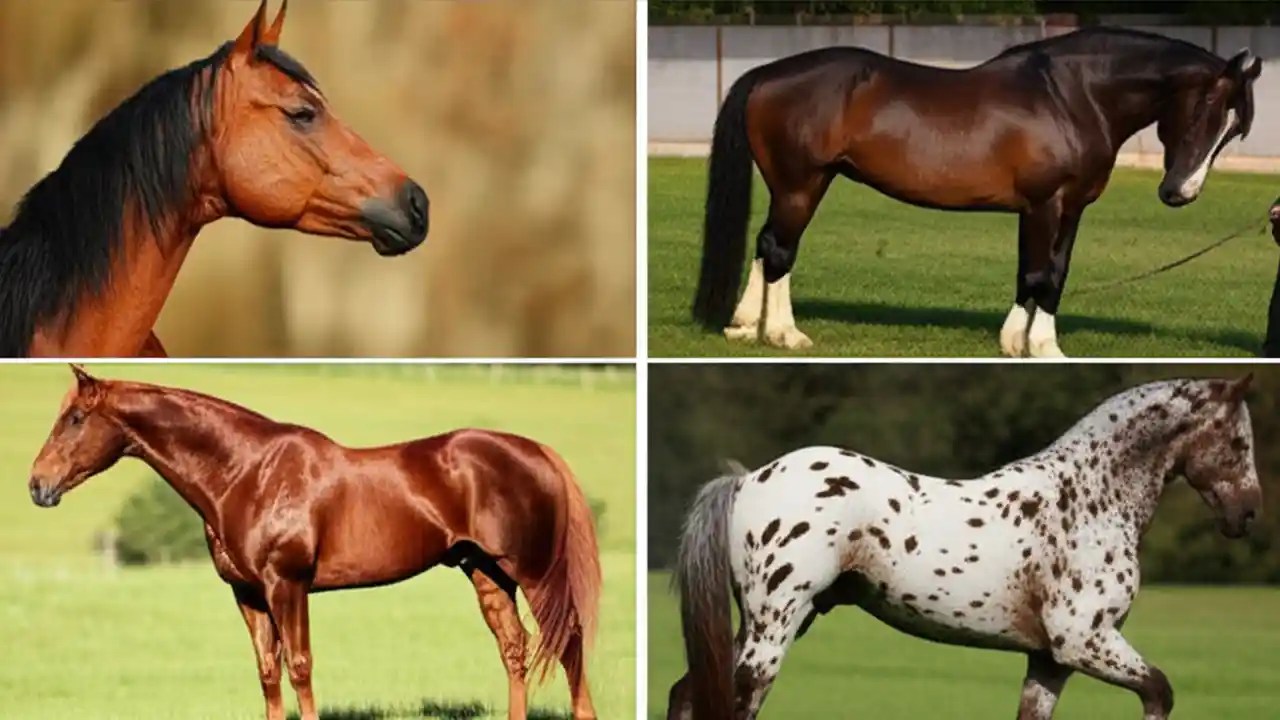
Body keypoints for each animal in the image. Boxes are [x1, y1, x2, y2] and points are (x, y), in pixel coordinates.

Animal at [27, 366, 599, 720]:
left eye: (74, 419)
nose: (37, 485)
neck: (249, 474)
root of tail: (536, 451)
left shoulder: (288, 585)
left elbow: (299, 666)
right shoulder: (248, 595)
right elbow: (268, 672)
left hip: (534, 572)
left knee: (567, 639)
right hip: (486, 572)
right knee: (514, 648)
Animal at [667, 375, 1261, 720]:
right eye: (1238, 443)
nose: (1249, 514)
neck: (1088, 499)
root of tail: (748, 479)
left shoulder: (1050, 661)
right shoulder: (1085, 642)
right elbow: (1159, 691)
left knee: (686, 694)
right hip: (774, 627)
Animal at [691, 28, 1262, 357]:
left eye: (1234, 130)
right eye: (1206, 111)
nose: (1180, 193)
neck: (1071, 97)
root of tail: (767, 73)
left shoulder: (1063, 208)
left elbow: (1040, 273)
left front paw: (1015, 342)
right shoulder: (1048, 203)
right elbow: (1043, 274)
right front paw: (1044, 348)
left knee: (767, 246)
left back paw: (745, 326)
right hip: (801, 184)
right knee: (779, 249)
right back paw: (784, 334)